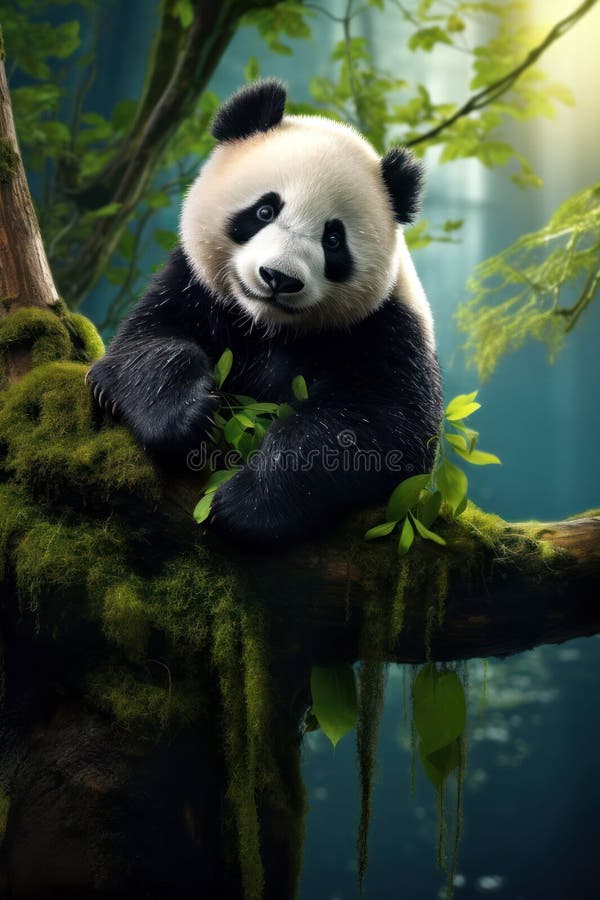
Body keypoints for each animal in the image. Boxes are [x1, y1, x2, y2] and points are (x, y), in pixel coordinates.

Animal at [88, 79, 443, 549]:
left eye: (333, 239)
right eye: (264, 210)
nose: (278, 277)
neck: (268, 325)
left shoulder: (387, 327)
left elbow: (382, 424)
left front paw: (244, 504)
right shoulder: (191, 286)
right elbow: (145, 347)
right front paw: (182, 420)